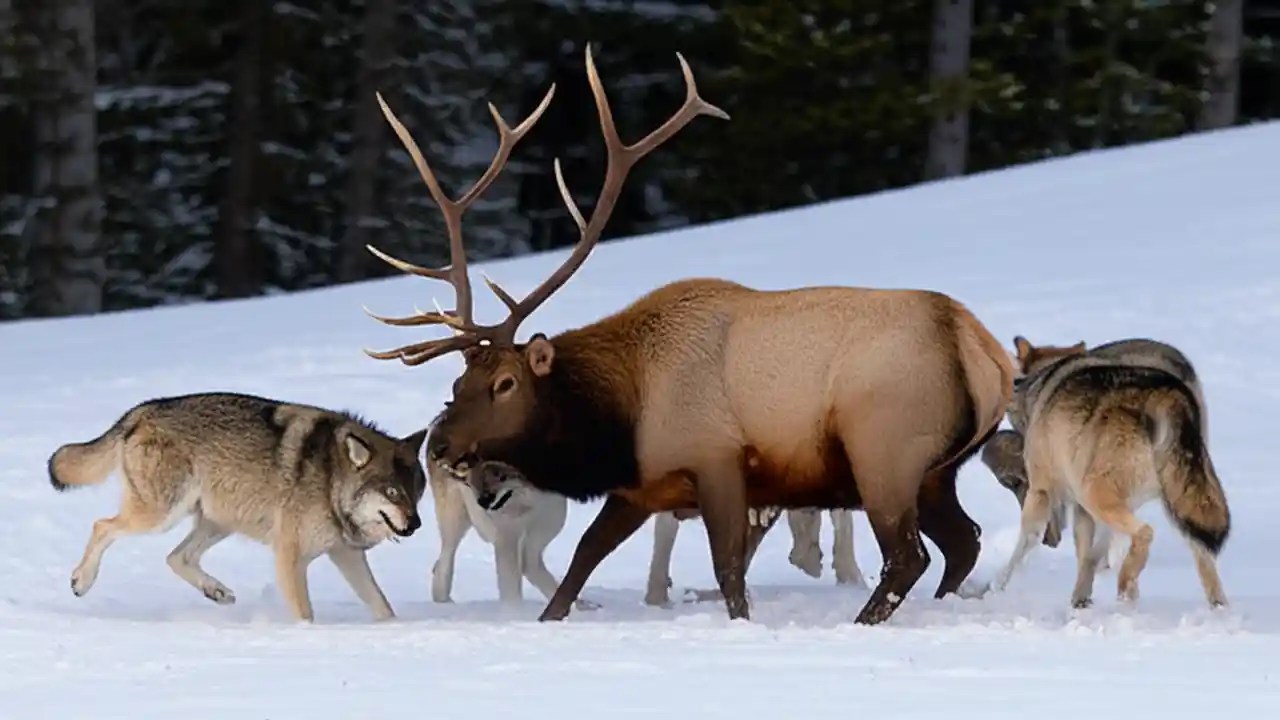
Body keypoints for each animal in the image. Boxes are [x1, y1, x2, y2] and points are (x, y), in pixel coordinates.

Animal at [47, 392, 427, 622]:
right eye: (392, 492)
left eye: (416, 492)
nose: (416, 525)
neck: (331, 480)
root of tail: (142, 409)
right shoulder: (290, 556)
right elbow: (305, 613)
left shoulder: (345, 554)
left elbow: (382, 605)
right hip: (161, 515)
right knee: (103, 525)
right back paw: (81, 581)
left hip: (218, 522)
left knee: (175, 557)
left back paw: (216, 591)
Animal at [359, 45, 1015, 626]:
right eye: (456, 383)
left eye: (504, 383)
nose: (440, 445)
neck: (621, 417)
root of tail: (983, 351)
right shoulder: (643, 485)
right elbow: (581, 562)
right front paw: (550, 620)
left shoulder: (716, 458)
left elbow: (728, 572)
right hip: (935, 471)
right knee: (964, 541)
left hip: (884, 449)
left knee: (908, 557)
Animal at [990, 338, 1230, 609]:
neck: (1044, 382)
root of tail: (1165, 396)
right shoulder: (1084, 509)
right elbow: (1088, 552)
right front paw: (1082, 596)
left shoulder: (1042, 491)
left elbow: (1026, 542)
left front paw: (999, 585)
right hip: (1182, 498)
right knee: (1202, 553)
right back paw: (1215, 606)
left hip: (1096, 494)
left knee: (1145, 533)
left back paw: (1125, 584)